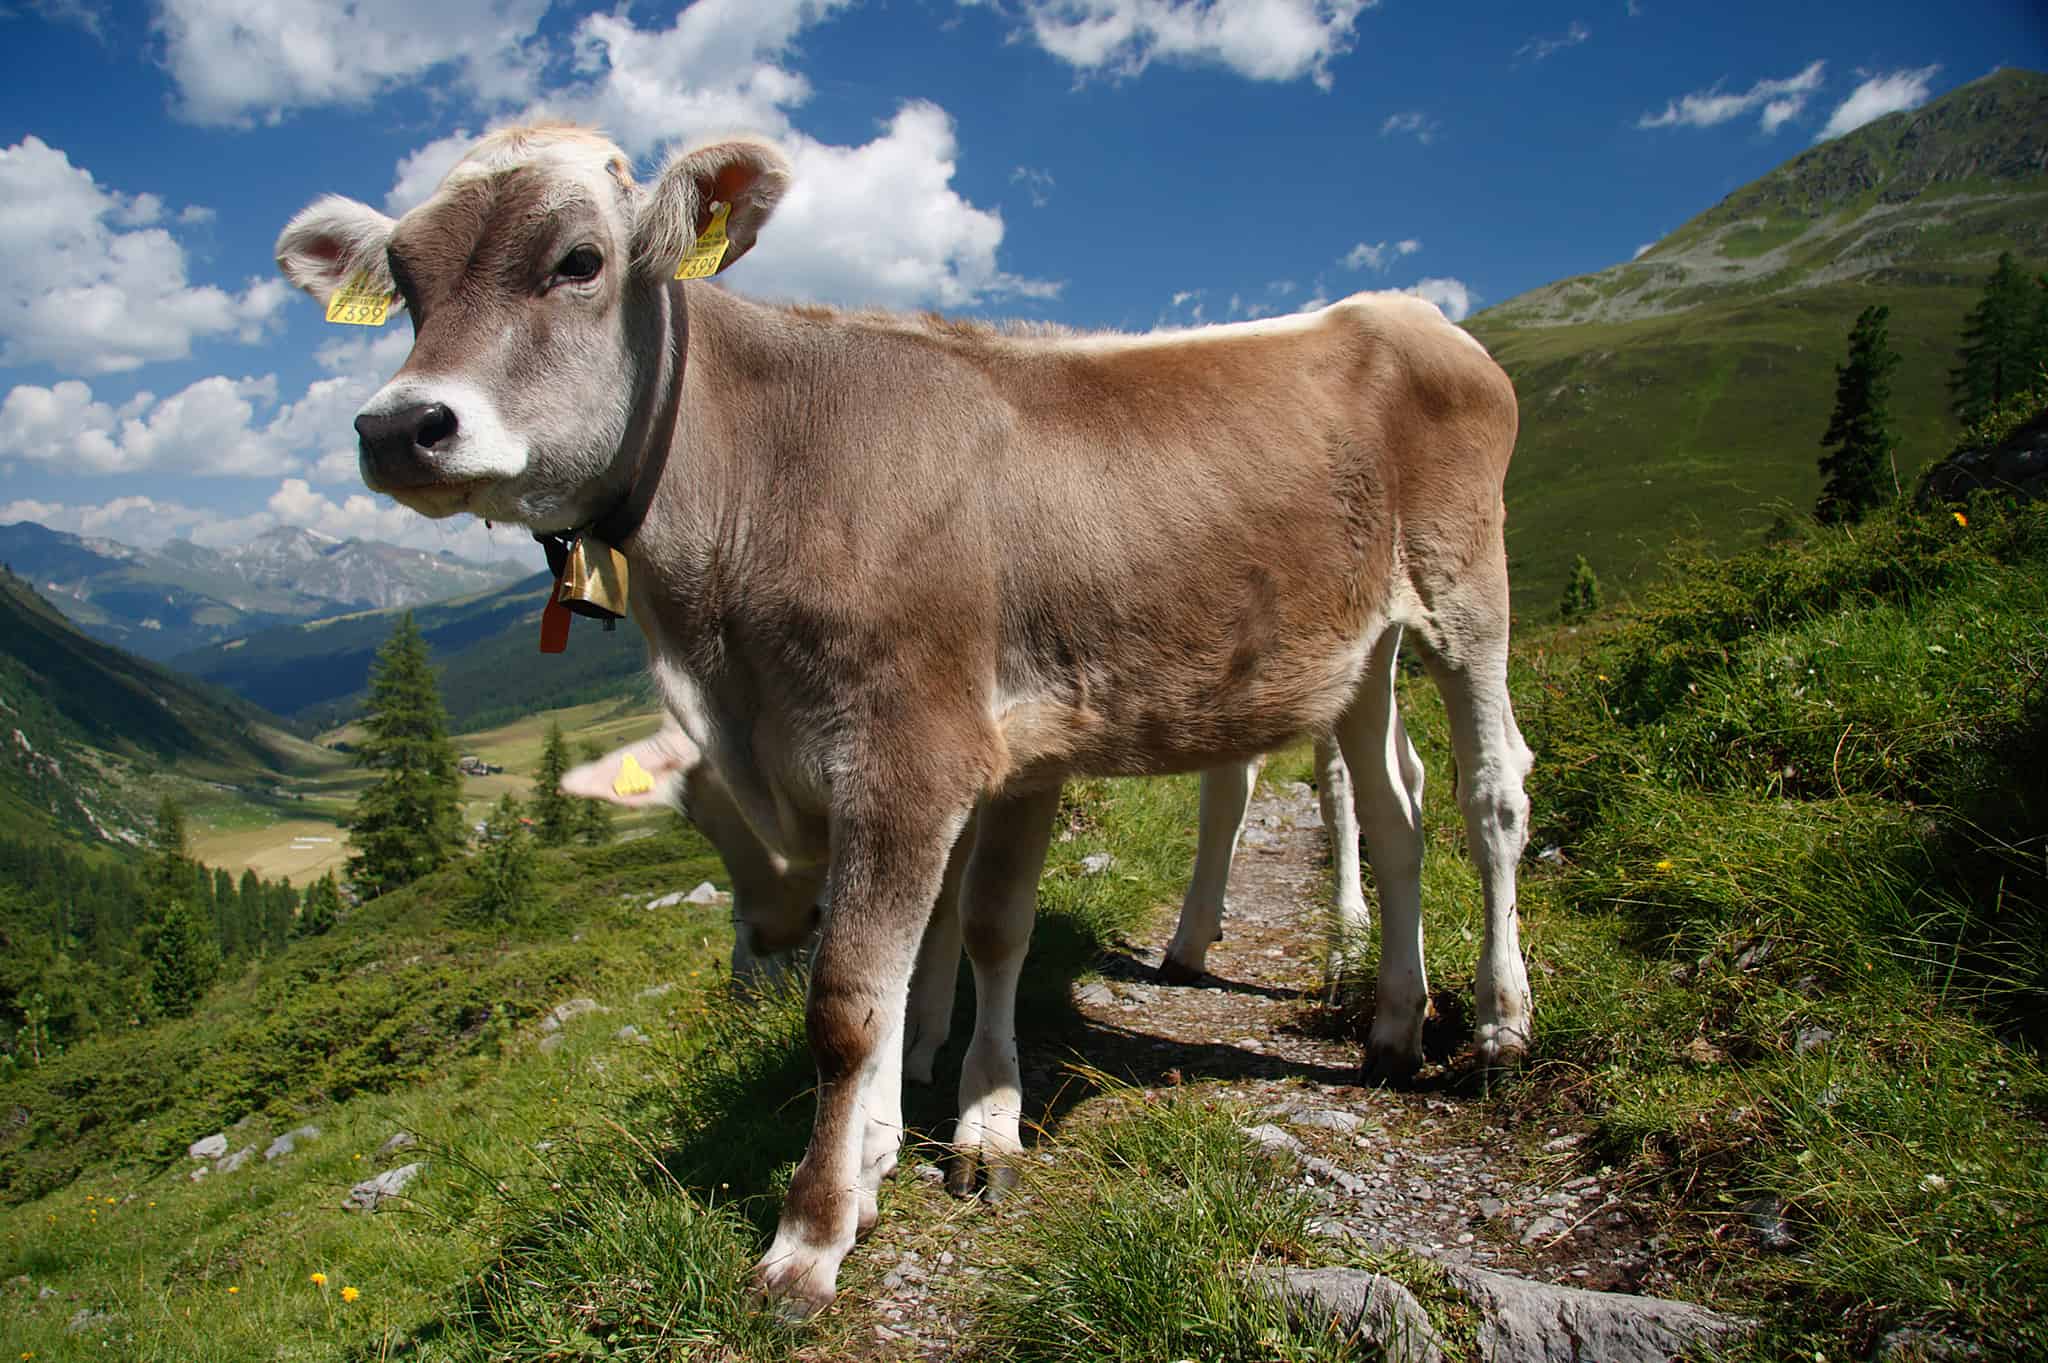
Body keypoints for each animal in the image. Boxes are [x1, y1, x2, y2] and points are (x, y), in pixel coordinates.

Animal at [559, 722, 1366, 1080]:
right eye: (694, 817)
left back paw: (1348, 938)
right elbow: (943, 898)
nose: (767, 932)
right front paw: (920, 1038)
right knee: (1233, 777)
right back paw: (1197, 936)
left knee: (1339, 773)